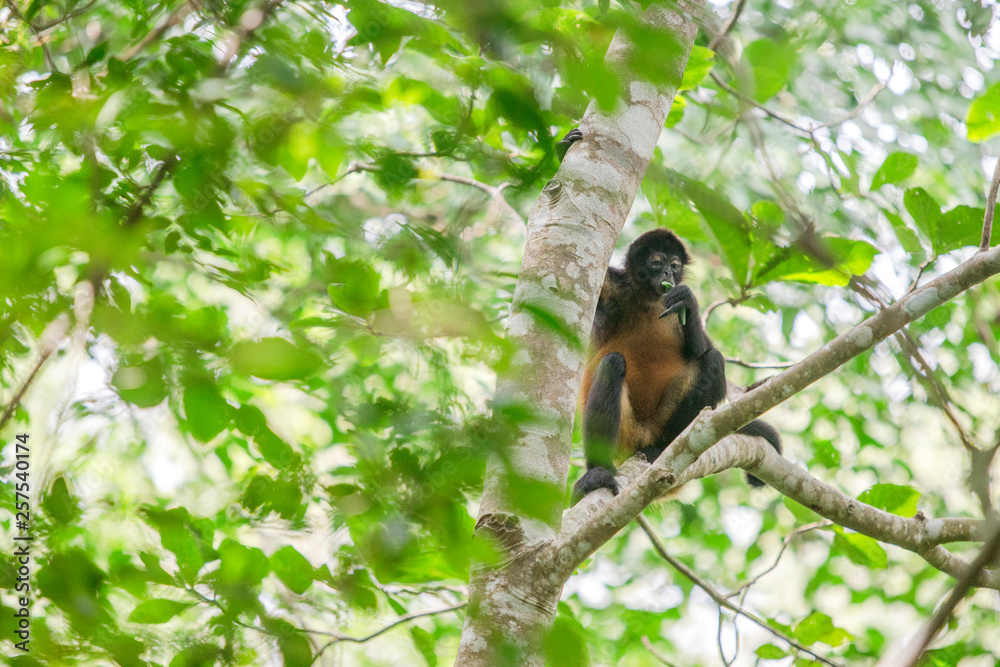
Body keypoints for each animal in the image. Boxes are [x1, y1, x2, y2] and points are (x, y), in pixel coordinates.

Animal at [572, 228, 782, 502]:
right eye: (656, 262)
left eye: (675, 265)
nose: (667, 275)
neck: (648, 298)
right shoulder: (611, 286)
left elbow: (701, 350)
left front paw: (688, 301)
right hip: (624, 431)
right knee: (612, 363)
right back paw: (597, 472)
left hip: (662, 421)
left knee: (714, 360)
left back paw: (661, 449)